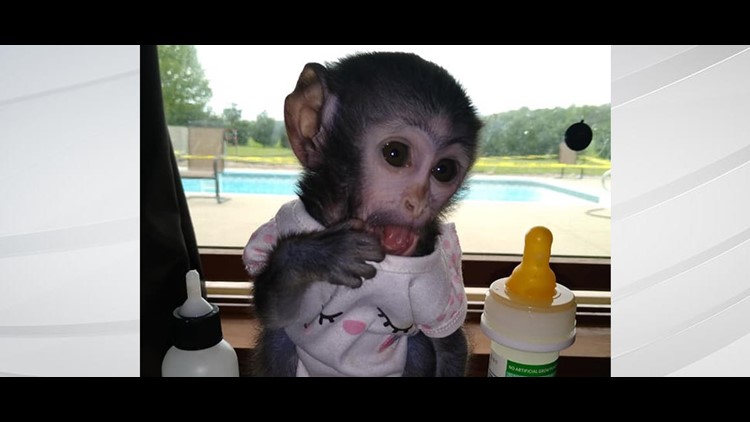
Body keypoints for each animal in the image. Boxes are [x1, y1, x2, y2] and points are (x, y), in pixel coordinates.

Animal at [242, 52, 483, 376]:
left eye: (444, 170)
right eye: (396, 153)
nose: (418, 203)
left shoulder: (441, 284)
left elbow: (448, 344)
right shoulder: (274, 231)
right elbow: (278, 313)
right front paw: (319, 255)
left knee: (420, 345)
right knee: (277, 339)